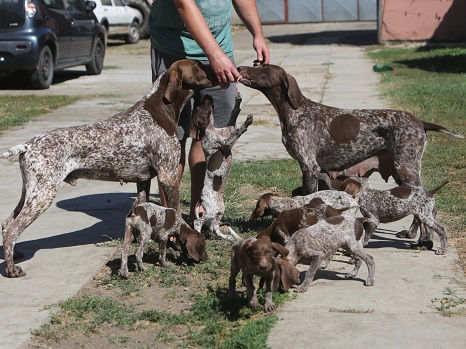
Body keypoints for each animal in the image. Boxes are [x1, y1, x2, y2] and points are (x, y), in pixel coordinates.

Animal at [1, 59, 217, 278]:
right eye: (198, 66)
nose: (214, 69)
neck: (161, 110)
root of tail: (28, 145)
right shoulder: (168, 176)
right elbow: (176, 215)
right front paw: (176, 249)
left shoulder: (143, 181)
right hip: (43, 194)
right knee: (12, 229)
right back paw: (11, 269)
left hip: (30, 192)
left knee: (6, 223)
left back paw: (14, 254)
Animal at [191, 93, 253, 239]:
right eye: (200, 107)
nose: (207, 94)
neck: (210, 129)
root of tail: (199, 200)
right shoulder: (227, 143)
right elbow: (237, 132)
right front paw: (246, 123)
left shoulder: (227, 130)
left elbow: (234, 114)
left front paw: (238, 100)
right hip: (211, 211)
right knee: (197, 222)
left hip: (219, 211)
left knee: (214, 228)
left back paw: (229, 237)